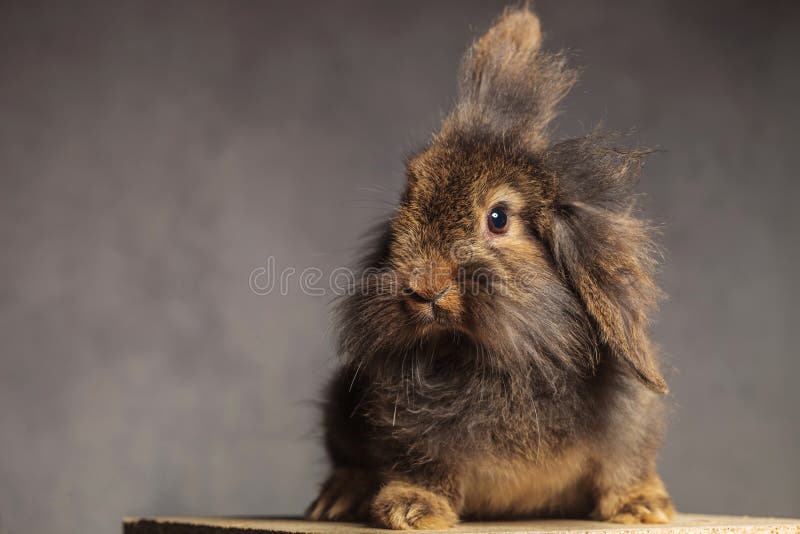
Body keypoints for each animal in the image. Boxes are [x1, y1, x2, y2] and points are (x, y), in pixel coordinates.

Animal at [306, 6, 675, 530]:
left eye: (498, 218)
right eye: (405, 202)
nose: (424, 288)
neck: (505, 357)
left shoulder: (628, 423)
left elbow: (624, 465)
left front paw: (643, 507)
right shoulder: (411, 431)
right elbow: (423, 465)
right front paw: (412, 509)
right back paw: (337, 499)